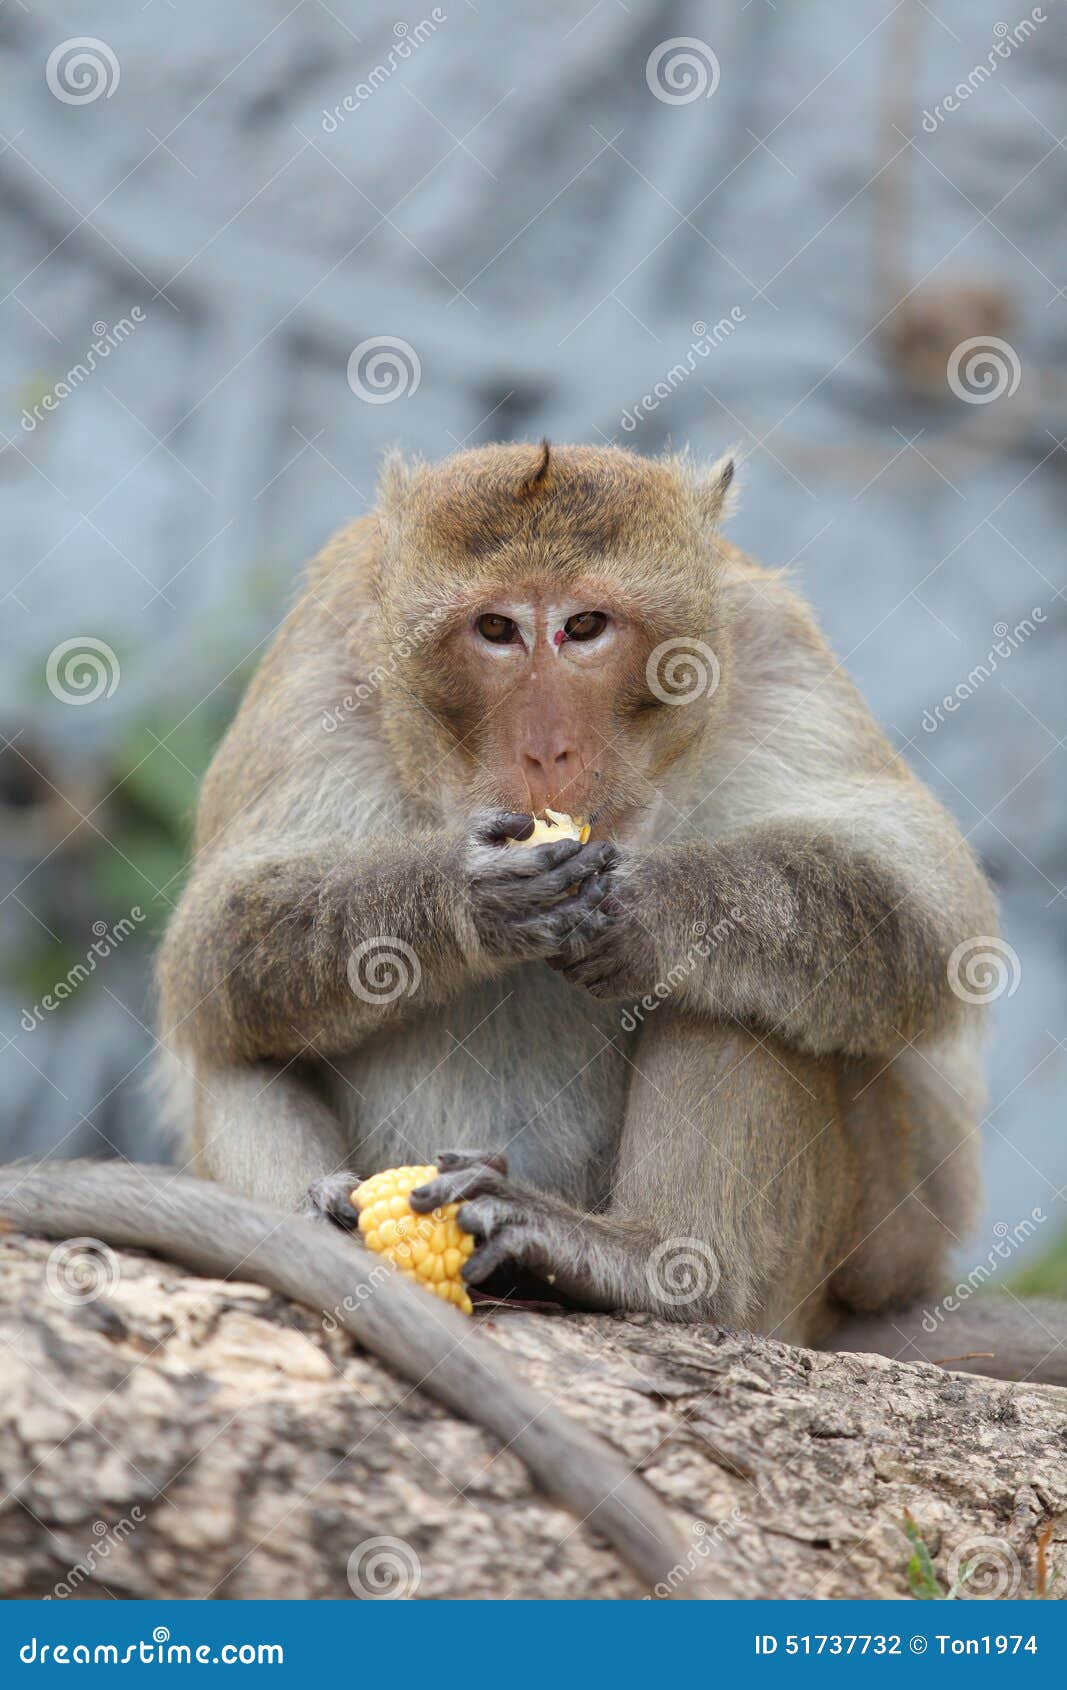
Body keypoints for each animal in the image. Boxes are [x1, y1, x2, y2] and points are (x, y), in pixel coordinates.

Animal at [3, 441, 1064, 1589]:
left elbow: (924, 914)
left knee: (741, 997)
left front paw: (655, 908)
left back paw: (651, 1269)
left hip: (860, 1236)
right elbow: (218, 943)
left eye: (585, 627)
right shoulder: (325, 649)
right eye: (498, 630)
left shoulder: (771, 649)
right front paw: (465, 899)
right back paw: (323, 1223)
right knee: (240, 1035)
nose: (548, 752)